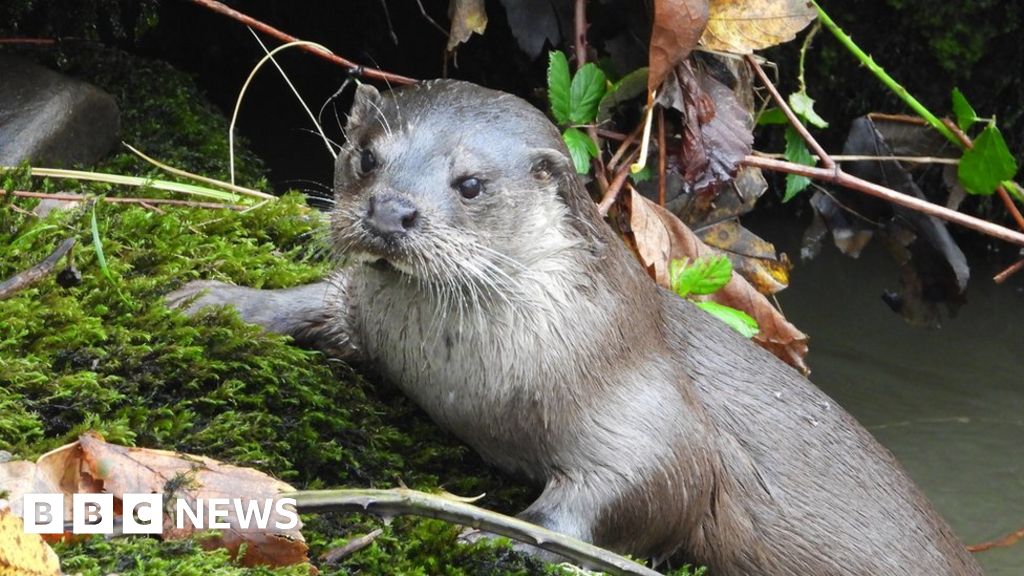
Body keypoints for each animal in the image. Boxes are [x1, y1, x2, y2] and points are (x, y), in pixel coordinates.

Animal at [168, 80, 982, 575]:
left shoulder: (646, 404)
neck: (461, 377)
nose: (391, 211)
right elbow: (319, 302)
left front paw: (496, 532)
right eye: (365, 157)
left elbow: (654, 482)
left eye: (470, 184)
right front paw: (217, 300)